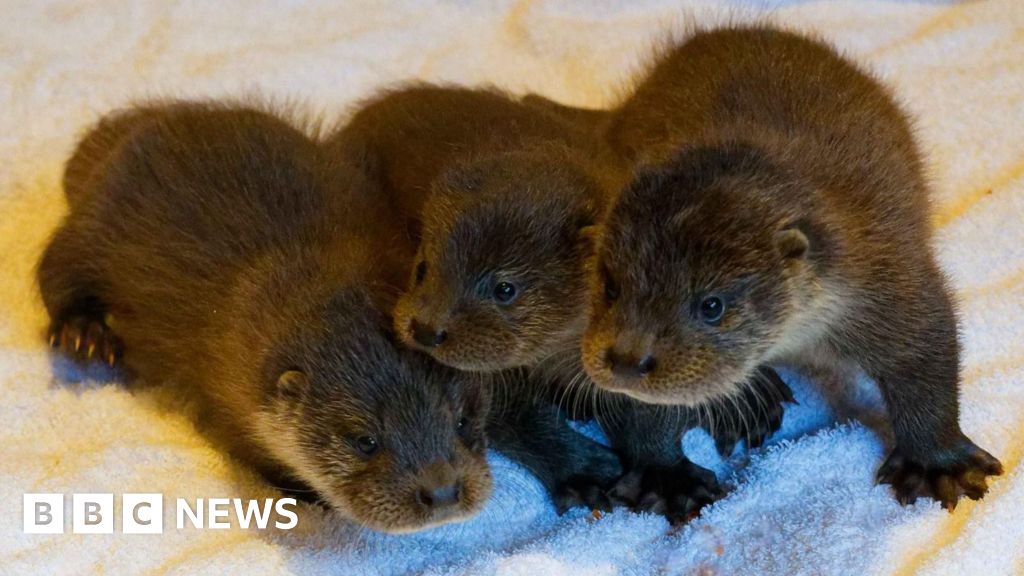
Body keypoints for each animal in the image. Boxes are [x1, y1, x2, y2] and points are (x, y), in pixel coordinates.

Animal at [38, 102, 495, 533]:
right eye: (365, 441)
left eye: (461, 420)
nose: (442, 490)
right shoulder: (230, 406)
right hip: (94, 224)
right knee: (54, 269)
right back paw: (84, 334)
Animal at [332, 85, 794, 521]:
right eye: (423, 267)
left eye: (505, 289)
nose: (427, 328)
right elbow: (525, 423)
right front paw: (586, 473)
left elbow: (650, 410)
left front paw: (668, 477)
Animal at [584, 25, 1002, 509]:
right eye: (612, 287)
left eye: (712, 306)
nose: (626, 360)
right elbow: (642, 410)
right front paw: (665, 476)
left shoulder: (881, 274)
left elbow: (923, 351)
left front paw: (939, 465)